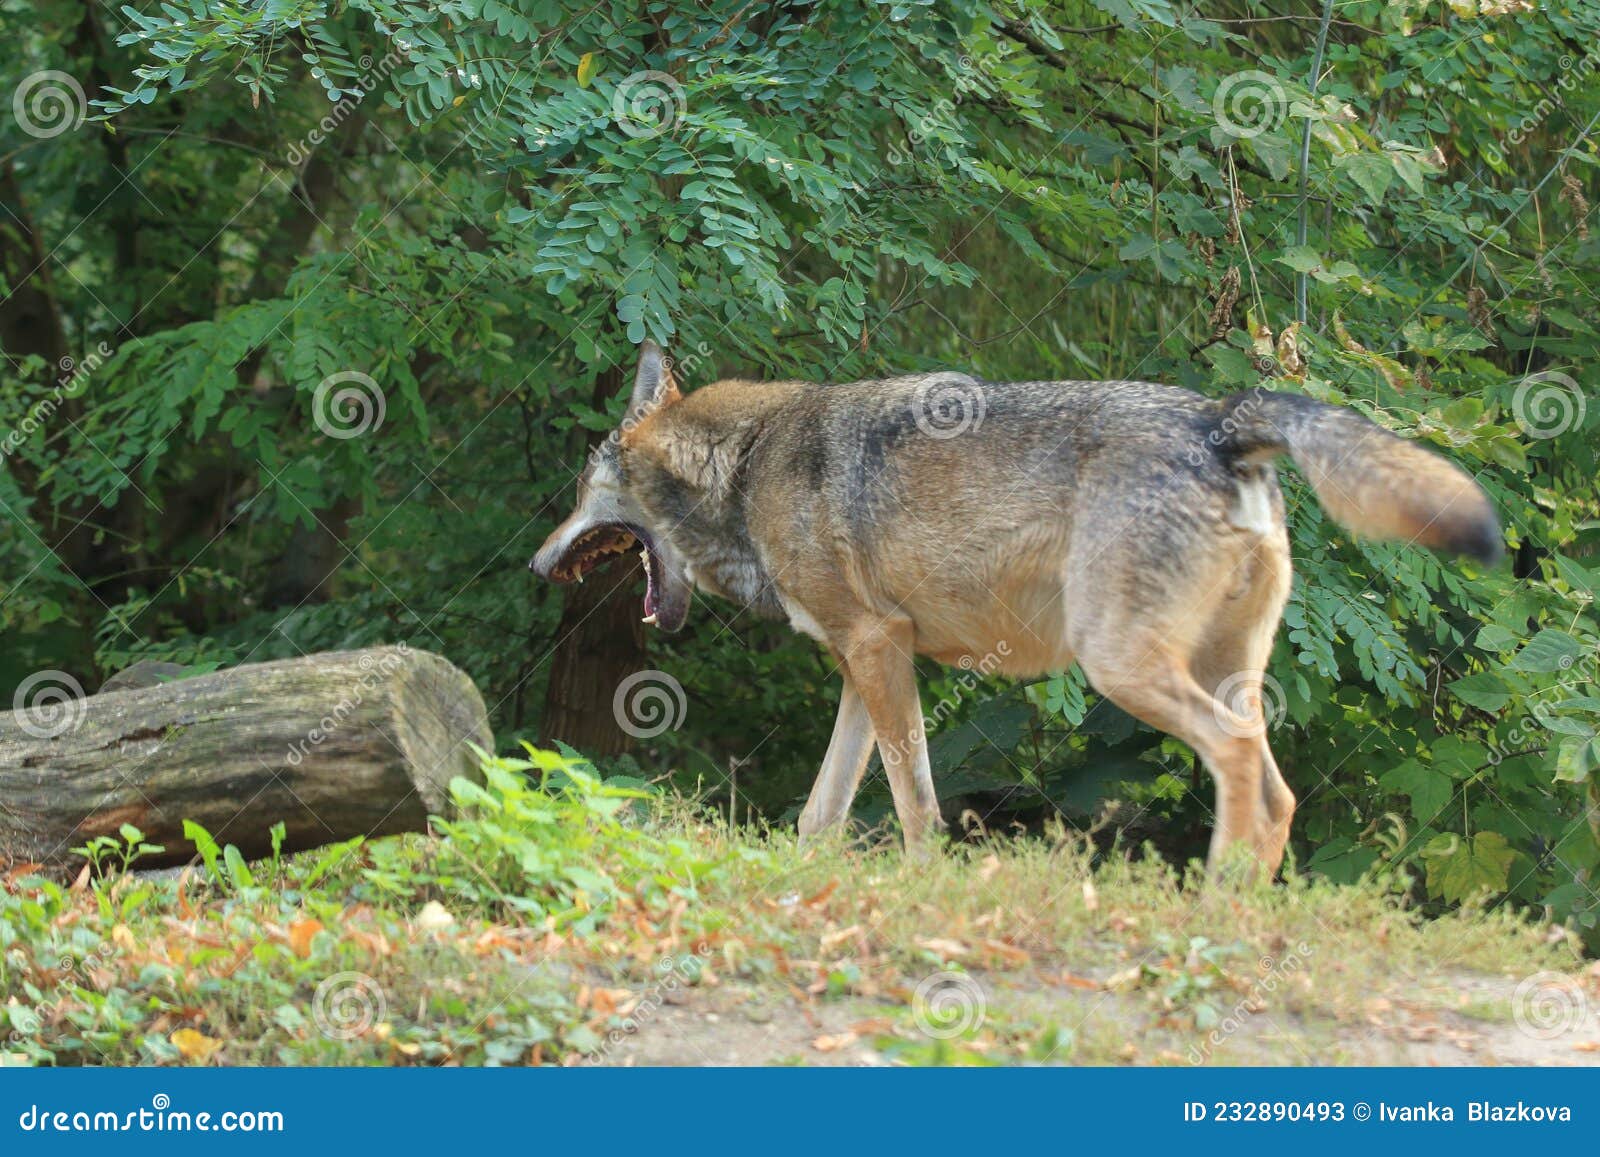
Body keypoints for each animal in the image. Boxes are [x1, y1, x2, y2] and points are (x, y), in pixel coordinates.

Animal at [532, 342, 1500, 874]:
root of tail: (1223, 421)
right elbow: (822, 813)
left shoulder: (877, 649)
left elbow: (916, 806)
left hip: (1125, 670)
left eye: (578, 490)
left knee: (1240, 775)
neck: (749, 459)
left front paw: (922, 888)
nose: (541, 565)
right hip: (1222, 678)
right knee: (1277, 797)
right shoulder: (867, 666)